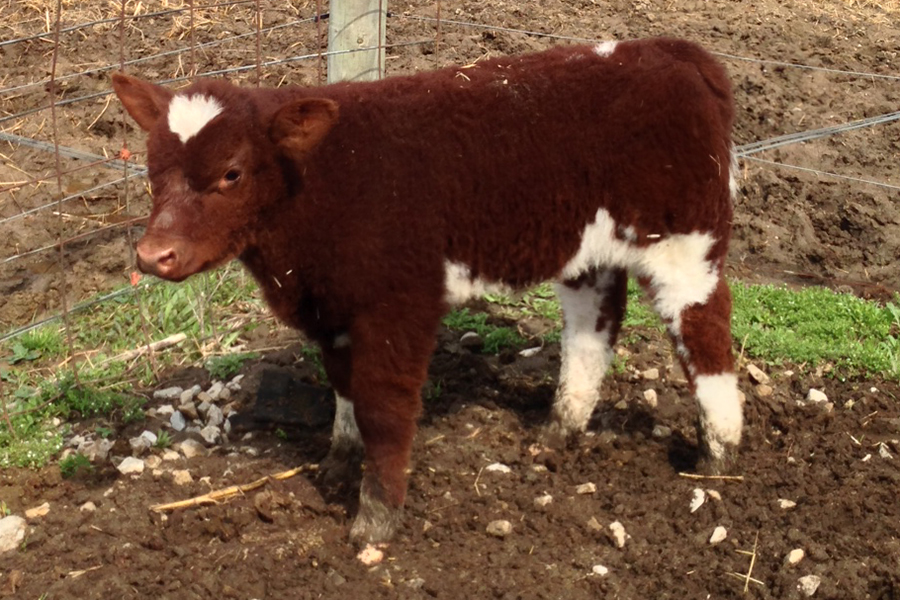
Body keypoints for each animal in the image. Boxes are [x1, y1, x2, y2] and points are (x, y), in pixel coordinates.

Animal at [112, 37, 742, 545]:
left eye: (232, 172)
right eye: (152, 170)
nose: (153, 255)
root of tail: (669, 51)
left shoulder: (399, 302)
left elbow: (384, 408)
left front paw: (376, 519)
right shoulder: (334, 305)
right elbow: (344, 388)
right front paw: (339, 461)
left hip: (683, 239)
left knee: (704, 329)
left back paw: (718, 453)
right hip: (588, 246)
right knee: (593, 328)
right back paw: (558, 430)